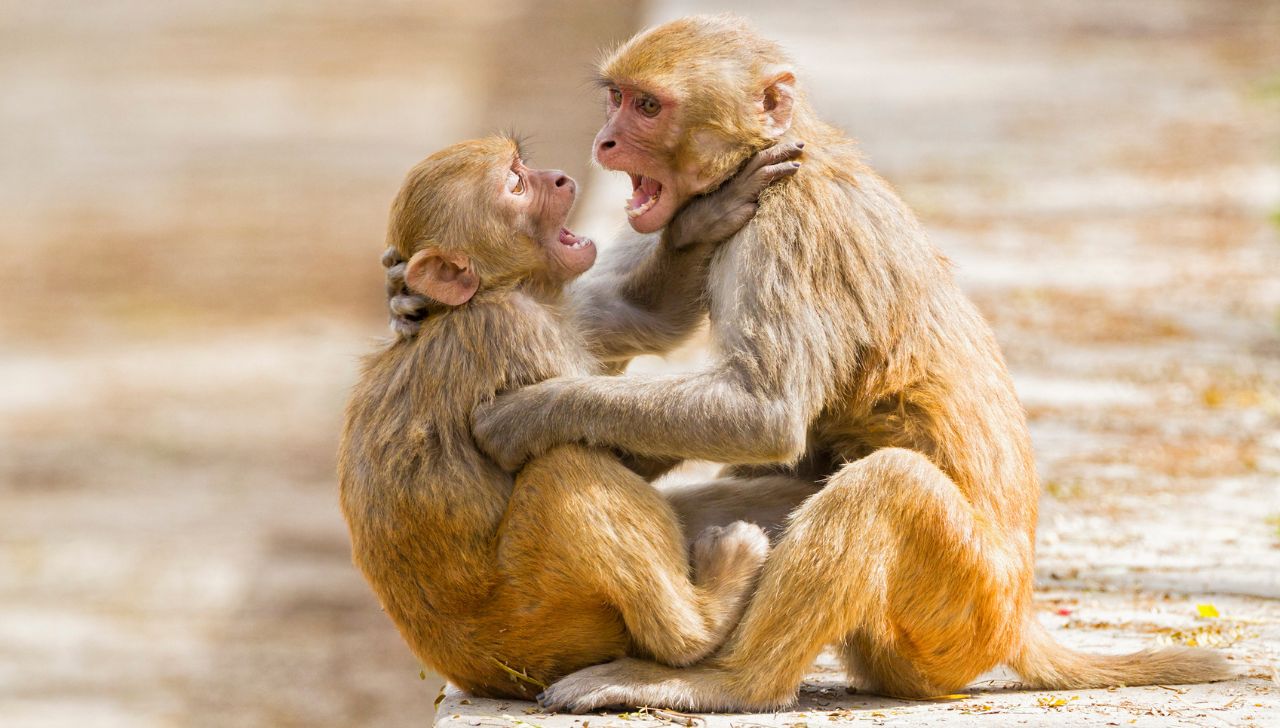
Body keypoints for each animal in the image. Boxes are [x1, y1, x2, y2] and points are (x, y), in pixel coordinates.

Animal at [338, 134, 805, 699]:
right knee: (566, 468)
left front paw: (703, 219)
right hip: (540, 622)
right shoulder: (517, 329)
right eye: (515, 185)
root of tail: (480, 674)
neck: (496, 290)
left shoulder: (568, 307)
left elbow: (648, 318)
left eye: (524, 165)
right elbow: (602, 447)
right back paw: (698, 624)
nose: (558, 178)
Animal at [404, 15, 1232, 712]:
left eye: (646, 106)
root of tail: (1019, 617)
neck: (778, 153)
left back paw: (730, 683)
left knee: (886, 486)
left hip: (961, 612)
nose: (604, 144)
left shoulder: (782, 233)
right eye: (614, 99)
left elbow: (764, 414)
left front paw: (525, 416)